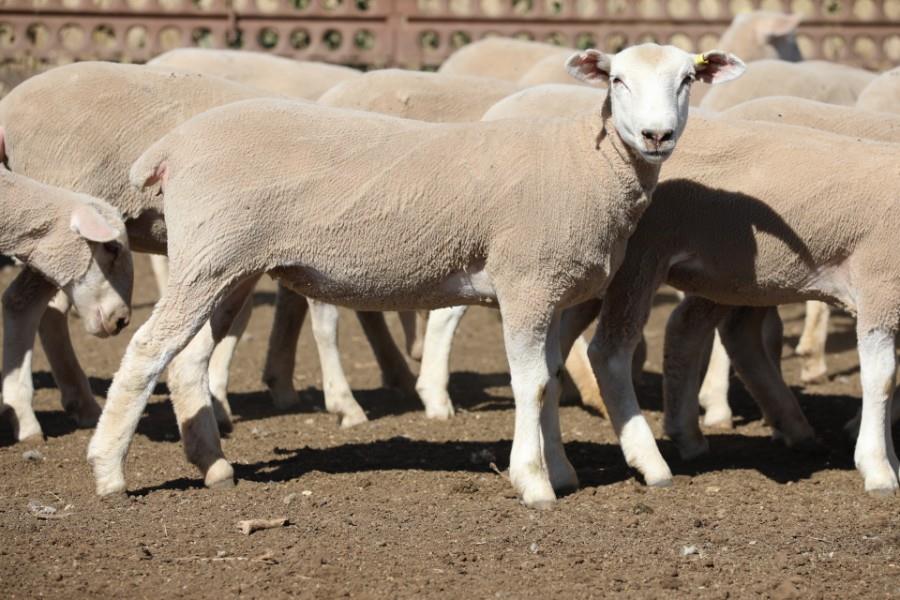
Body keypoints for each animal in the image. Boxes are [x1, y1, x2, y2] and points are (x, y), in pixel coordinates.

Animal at [588, 116, 900, 495]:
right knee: (610, 352)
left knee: (689, 330)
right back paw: (649, 461)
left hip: (722, 278)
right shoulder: (879, 284)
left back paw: (690, 436)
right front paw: (878, 468)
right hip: (640, 257)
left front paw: (892, 461)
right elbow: (882, 378)